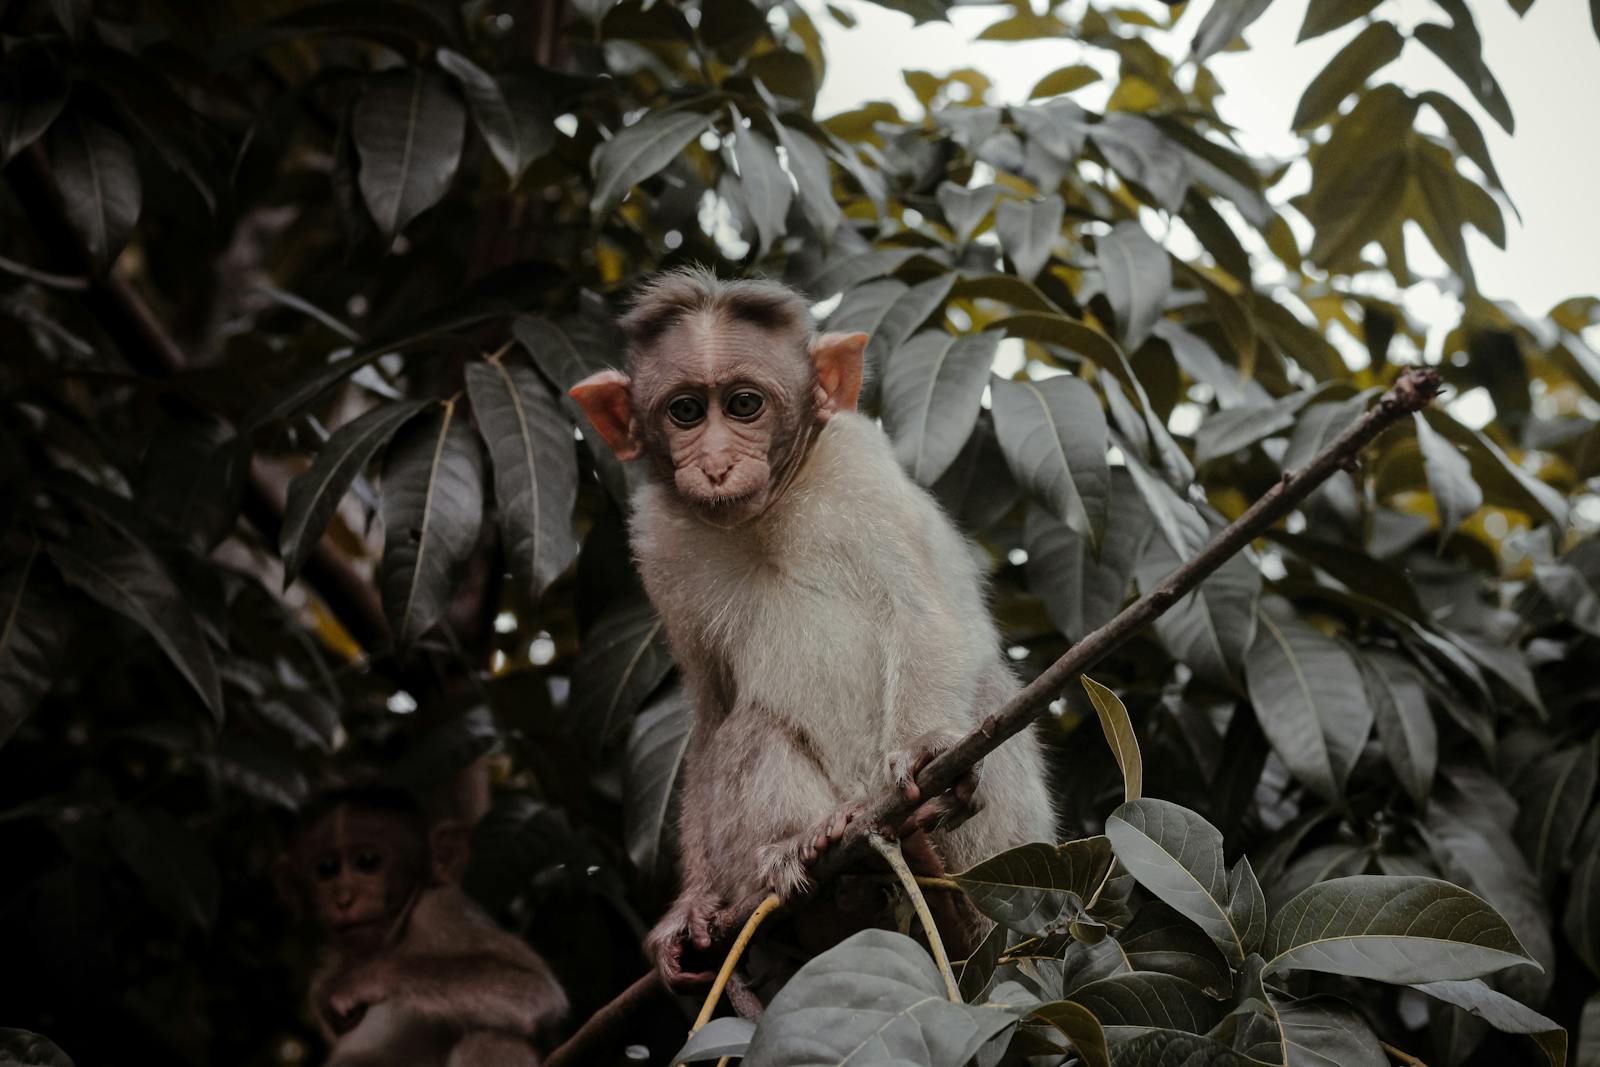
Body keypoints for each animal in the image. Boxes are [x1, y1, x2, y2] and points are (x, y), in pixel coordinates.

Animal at [276, 787, 568, 1066]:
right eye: (326, 868)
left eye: (368, 861)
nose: (344, 898)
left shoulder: (441, 908)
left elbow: (535, 989)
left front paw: (370, 977)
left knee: (493, 1034)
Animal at [570, 267, 1056, 989]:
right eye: (686, 412)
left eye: (744, 405)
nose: (715, 464)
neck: (767, 512)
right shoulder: (659, 541)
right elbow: (714, 709)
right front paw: (691, 903)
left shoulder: (860, 471)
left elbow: (928, 615)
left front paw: (925, 750)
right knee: (749, 727)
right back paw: (816, 863)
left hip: (998, 855)